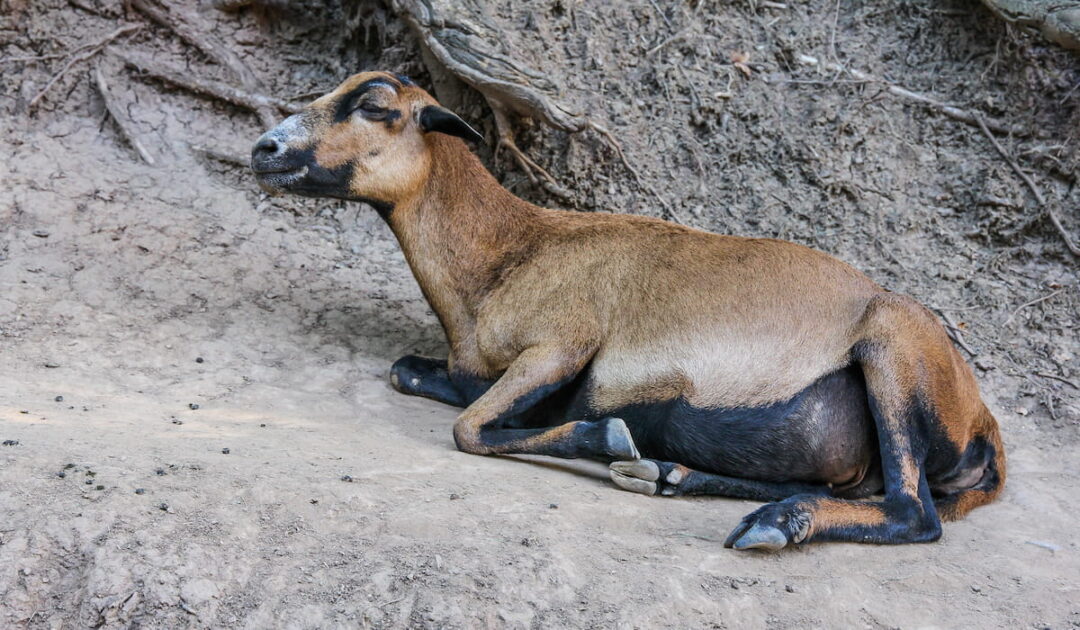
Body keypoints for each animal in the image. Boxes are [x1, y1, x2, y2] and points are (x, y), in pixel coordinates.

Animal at [250, 72, 1005, 550]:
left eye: (375, 106)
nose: (265, 148)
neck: (505, 257)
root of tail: (984, 427)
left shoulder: (565, 342)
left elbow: (471, 429)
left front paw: (608, 436)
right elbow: (411, 373)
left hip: (895, 348)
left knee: (913, 513)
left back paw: (770, 523)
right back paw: (673, 475)